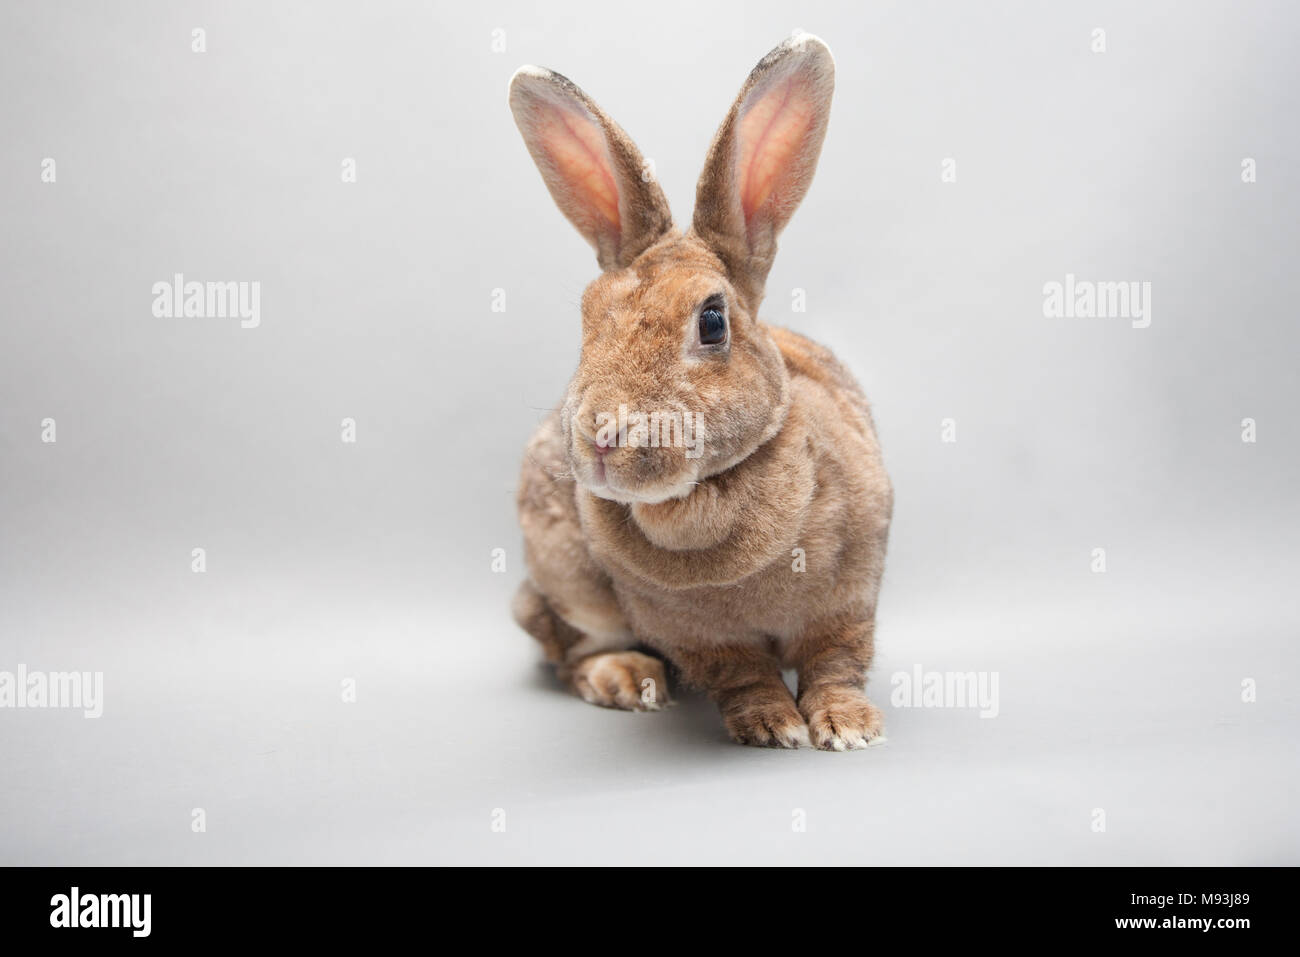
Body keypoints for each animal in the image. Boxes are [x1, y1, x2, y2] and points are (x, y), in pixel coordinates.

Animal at [507, 33, 892, 750]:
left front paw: (848, 727)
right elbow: (742, 672)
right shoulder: (696, 633)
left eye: (712, 321)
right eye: (587, 317)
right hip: (569, 583)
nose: (601, 437)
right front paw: (773, 725)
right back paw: (626, 679)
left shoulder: (851, 596)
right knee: (565, 645)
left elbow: (836, 660)